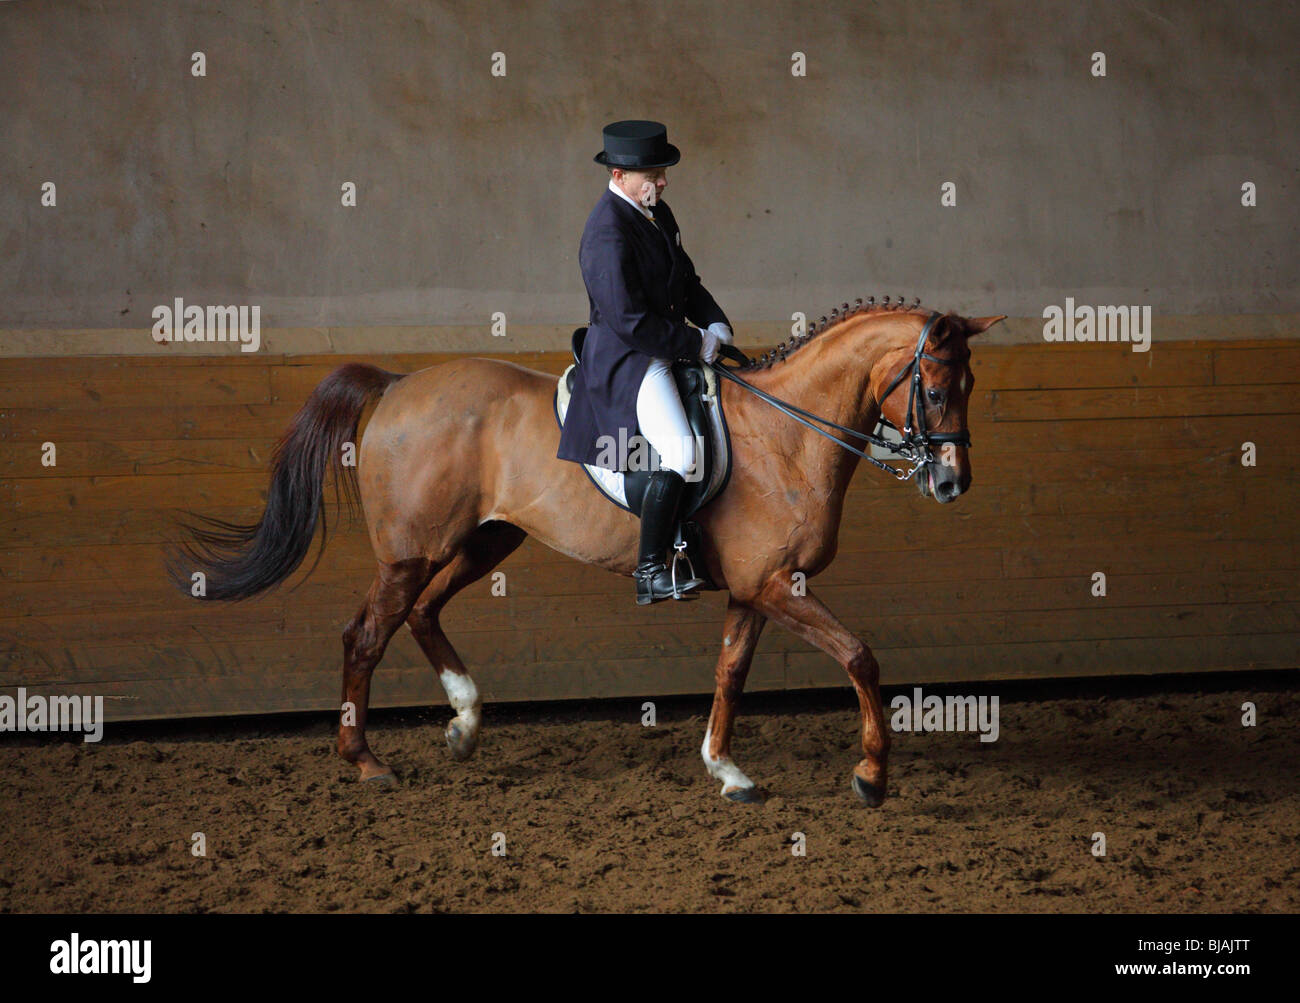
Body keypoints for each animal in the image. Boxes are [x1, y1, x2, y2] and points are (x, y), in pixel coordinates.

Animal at [170, 299, 1004, 806]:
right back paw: (366, 759)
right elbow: (860, 655)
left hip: (486, 538)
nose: (952, 482)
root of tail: (399, 383)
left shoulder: (754, 588)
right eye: (934, 387)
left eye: (969, 384)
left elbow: (730, 673)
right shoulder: (777, 584)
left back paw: (464, 723)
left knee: (425, 614)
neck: (788, 433)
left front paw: (726, 768)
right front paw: (871, 775)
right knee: (367, 634)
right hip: (411, 553)